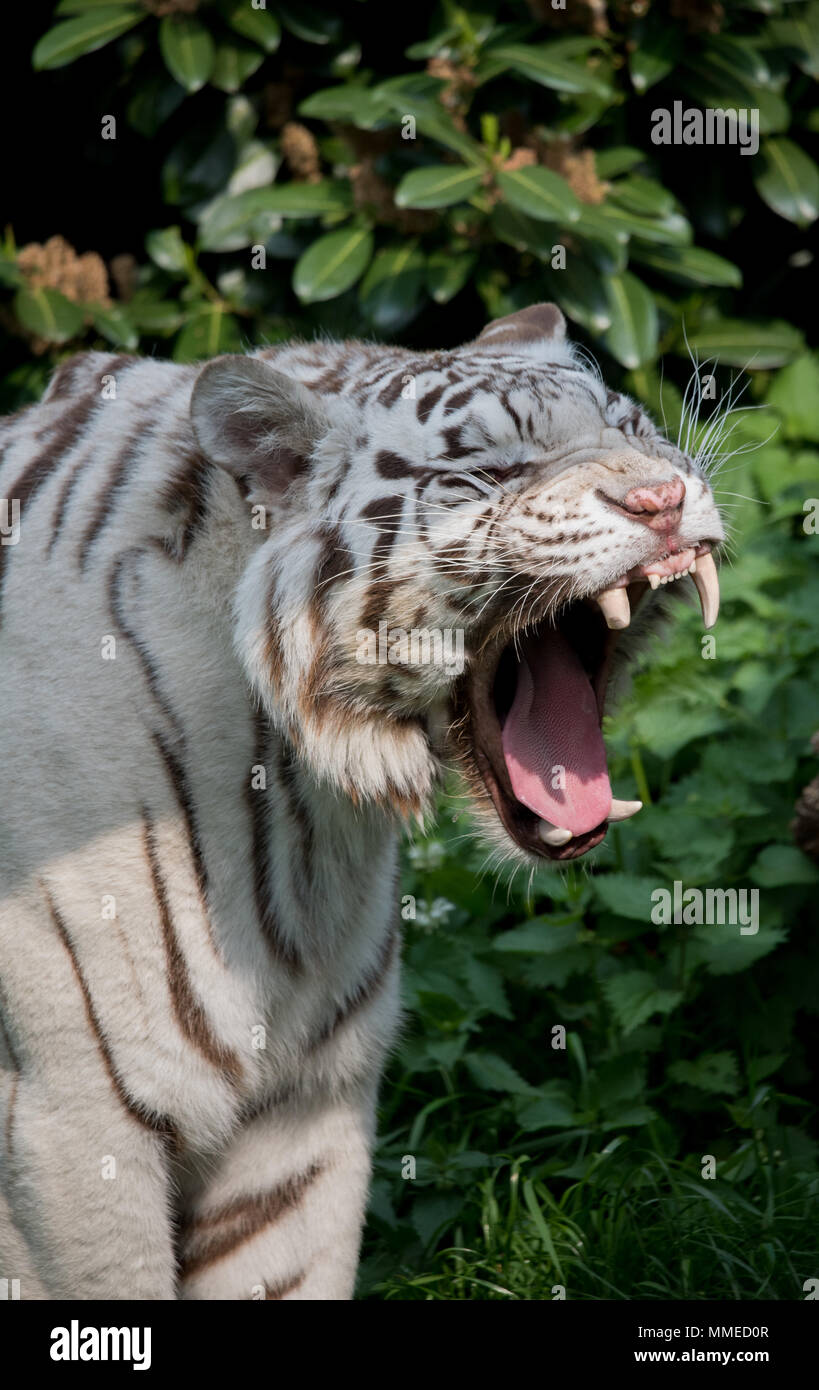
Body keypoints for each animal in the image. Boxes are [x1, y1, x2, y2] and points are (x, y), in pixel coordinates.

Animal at [0, 302, 723, 1300]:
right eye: (490, 468)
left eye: (634, 430)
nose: (659, 498)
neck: (297, 797)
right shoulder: (71, 1118)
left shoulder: (304, 1109)